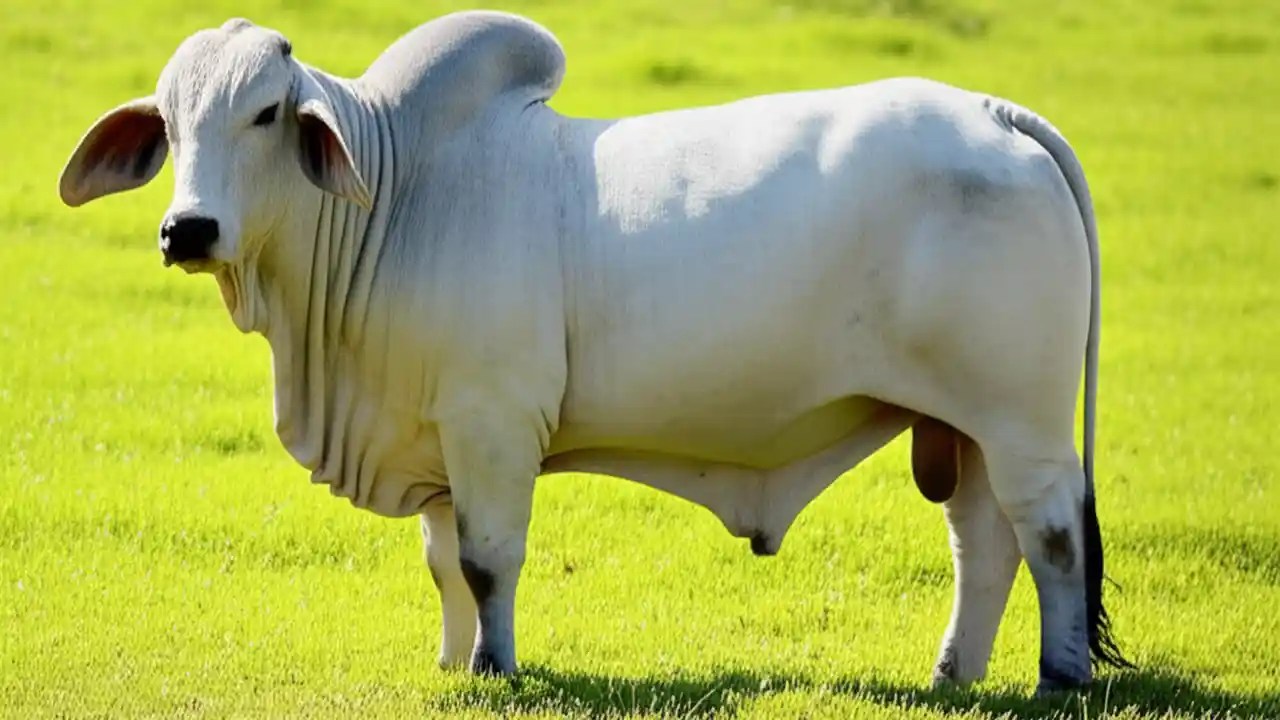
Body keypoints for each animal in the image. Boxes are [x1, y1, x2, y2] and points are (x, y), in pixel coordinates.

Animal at [59, 10, 1131, 692]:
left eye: (266, 112)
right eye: (168, 120)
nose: (188, 230)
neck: (396, 196)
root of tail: (995, 113)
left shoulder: (493, 425)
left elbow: (489, 560)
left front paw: (496, 668)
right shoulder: (439, 438)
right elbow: (444, 566)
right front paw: (453, 666)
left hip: (1023, 422)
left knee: (1051, 536)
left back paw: (1059, 677)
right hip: (965, 426)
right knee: (983, 542)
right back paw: (953, 675)